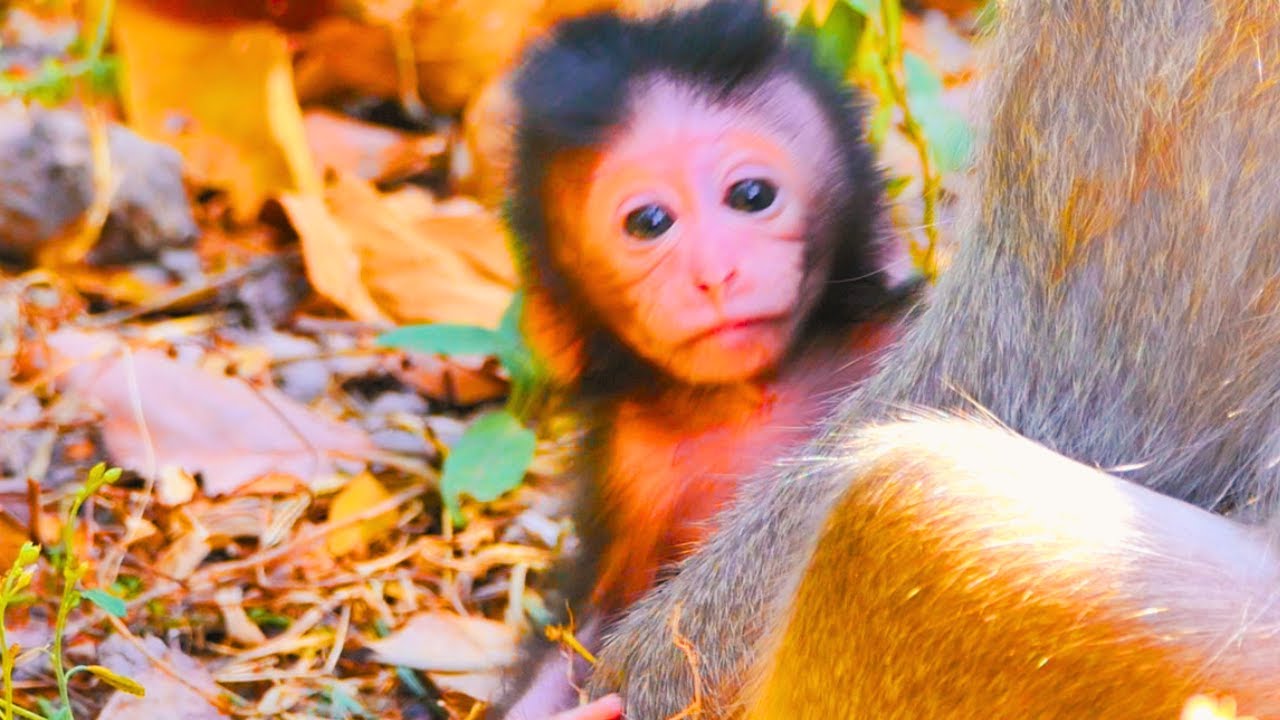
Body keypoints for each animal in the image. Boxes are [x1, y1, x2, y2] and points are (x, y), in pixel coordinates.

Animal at [492, 1, 920, 716]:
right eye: (649, 222)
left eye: (751, 196)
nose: (715, 273)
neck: (754, 396)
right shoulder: (632, 463)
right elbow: (597, 622)